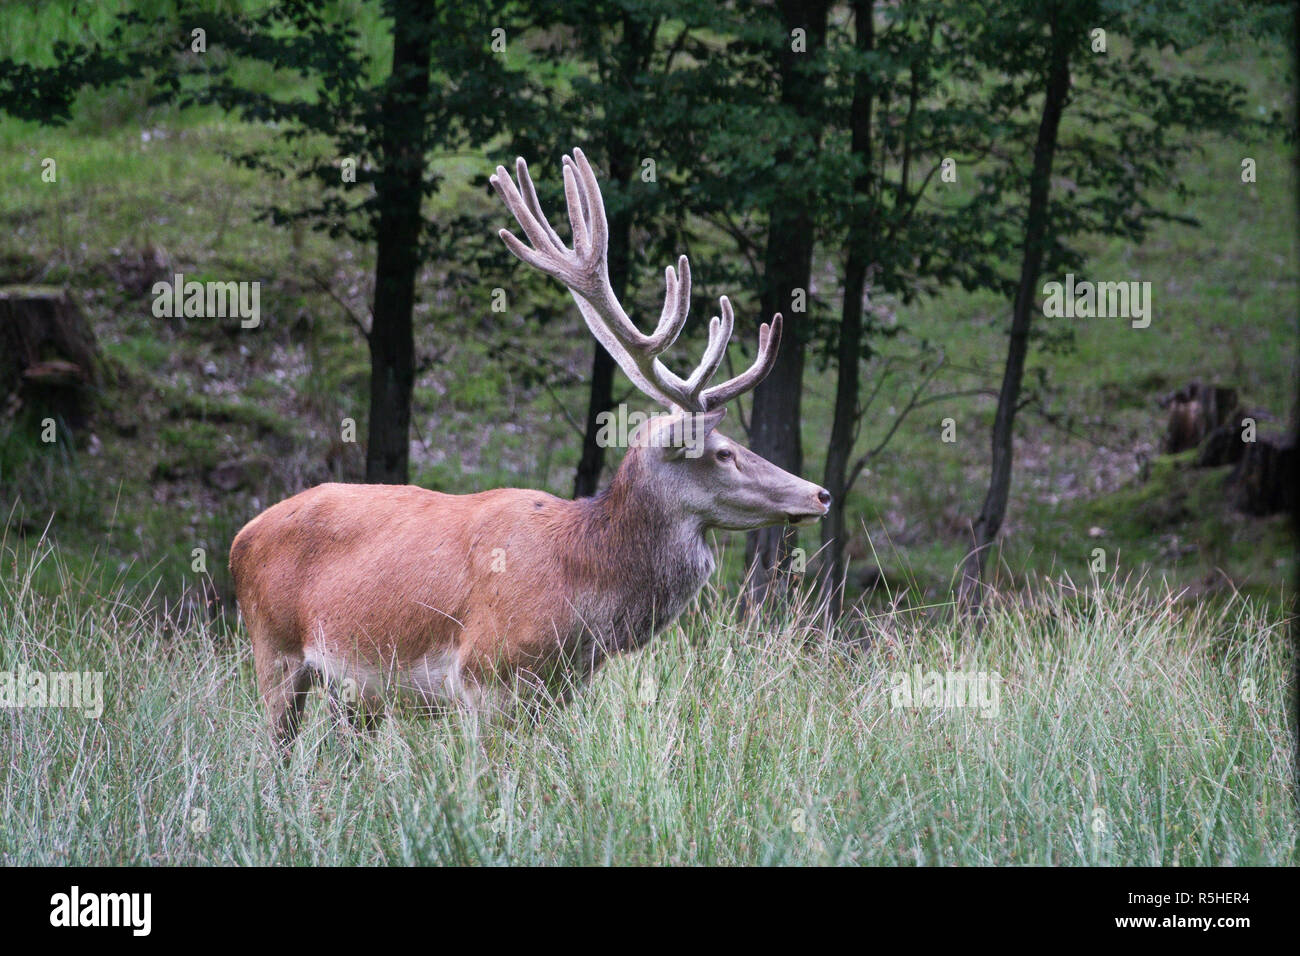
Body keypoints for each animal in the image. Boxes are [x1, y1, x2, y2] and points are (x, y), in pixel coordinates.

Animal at [230, 148, 830, 756]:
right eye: (723, 452)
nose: (820, 494)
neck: (583, 586)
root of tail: (241, 535)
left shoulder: (557, 691)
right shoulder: (484, 674)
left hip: (353, 692)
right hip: (273, 649)